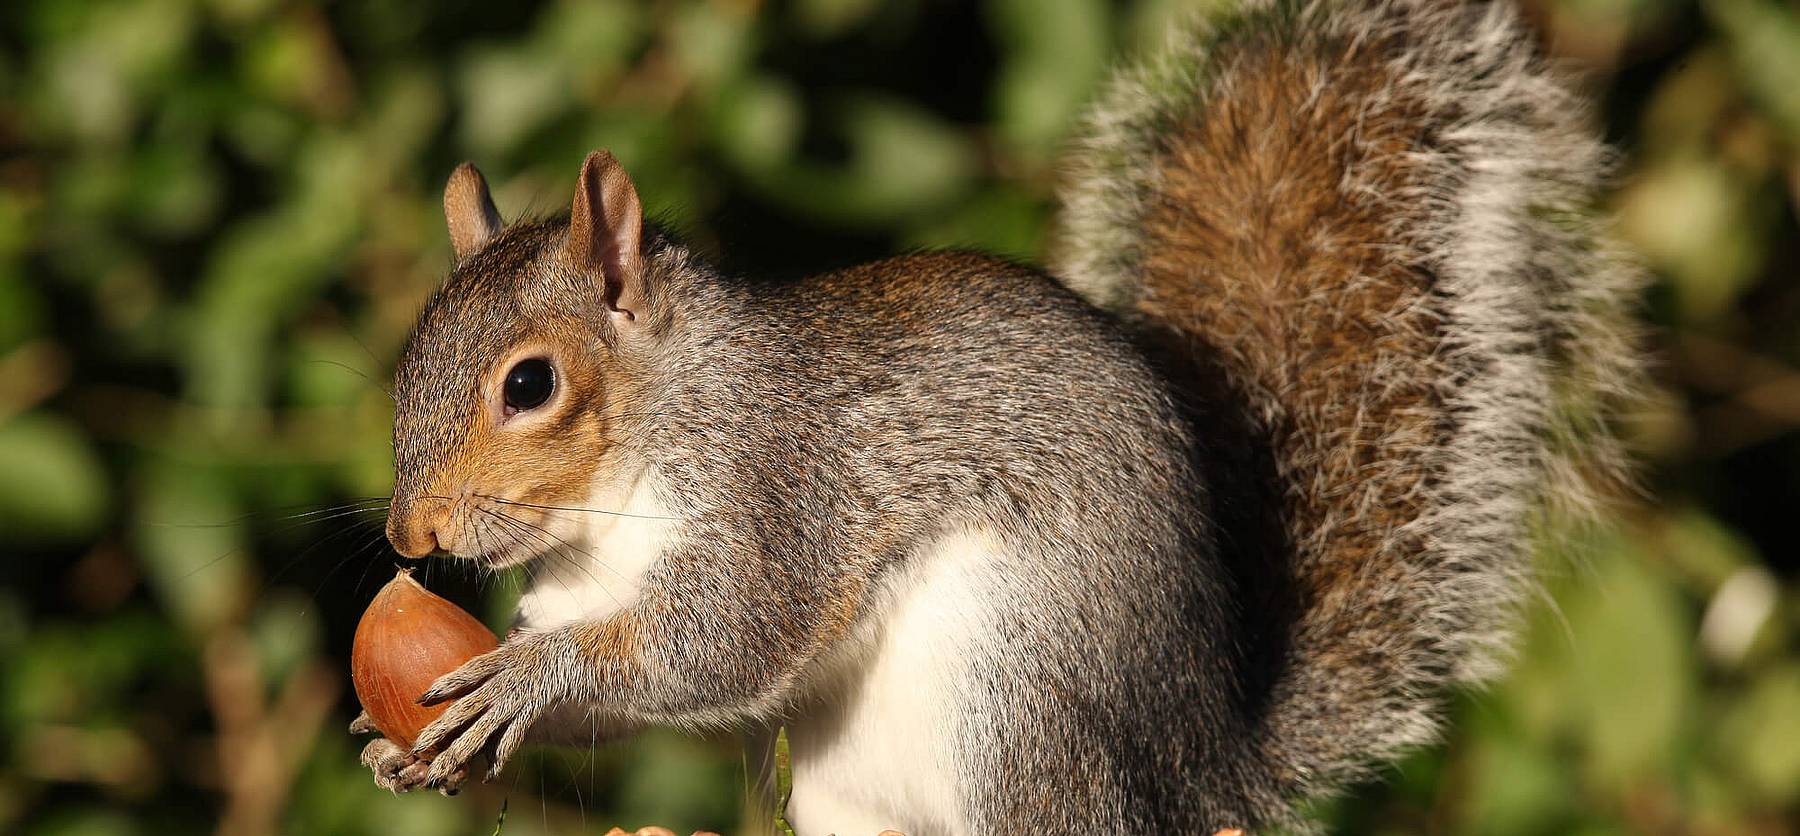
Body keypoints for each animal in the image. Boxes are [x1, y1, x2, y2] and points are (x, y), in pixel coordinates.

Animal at [350, 0, 1644, 831]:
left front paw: (531, 680)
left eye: (530, 385)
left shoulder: (778, 489)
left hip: (1013, 700)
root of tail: (1197, 773)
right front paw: (408, 741)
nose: (411, 537)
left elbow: (720, 641)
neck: (614, 496)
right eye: (409, 355)